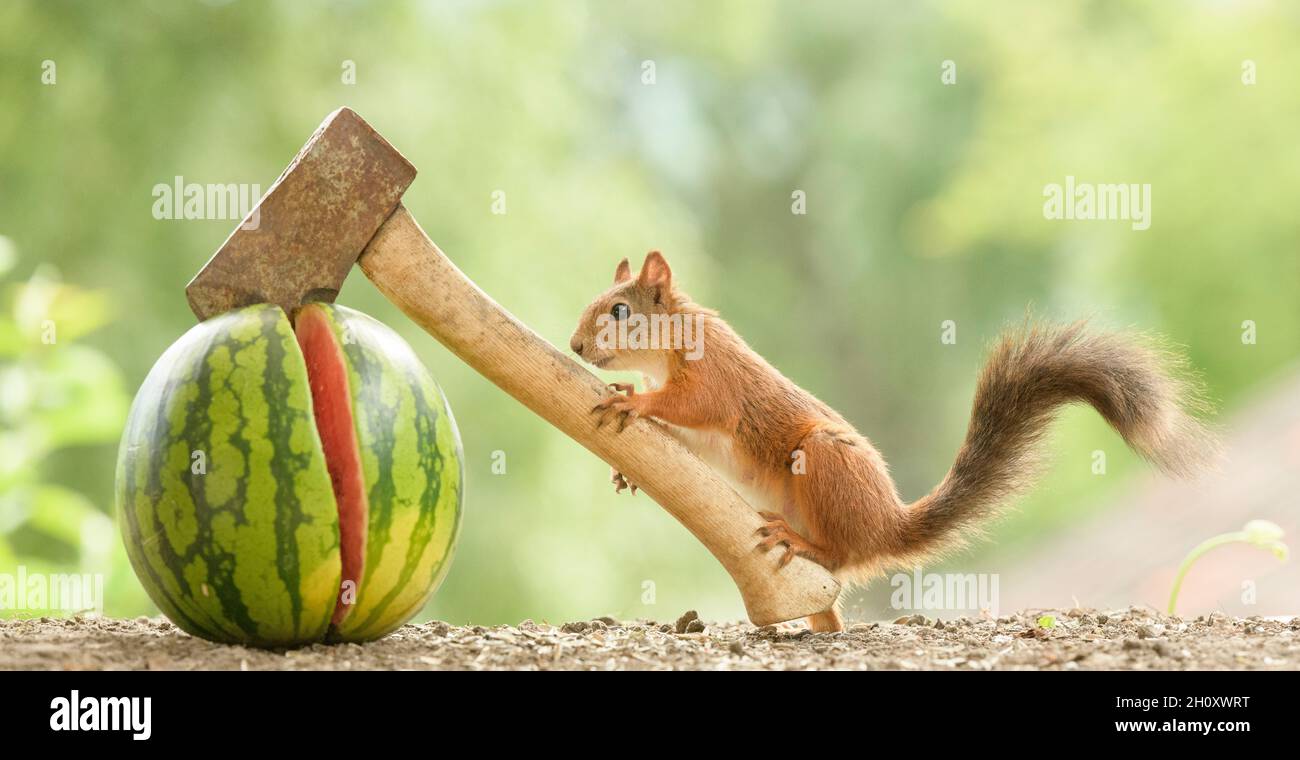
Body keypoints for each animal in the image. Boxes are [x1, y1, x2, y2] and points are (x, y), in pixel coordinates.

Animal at [569, 251, 1215, 632]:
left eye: (619, 311)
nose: (574, 346)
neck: (673, 343)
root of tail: (886, 524)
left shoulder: (716, 378)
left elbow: (693, 406)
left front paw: (633, 400)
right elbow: (683, 435)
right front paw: (627, 444)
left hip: (824, 462)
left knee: (841, 556)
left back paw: (803, 543)